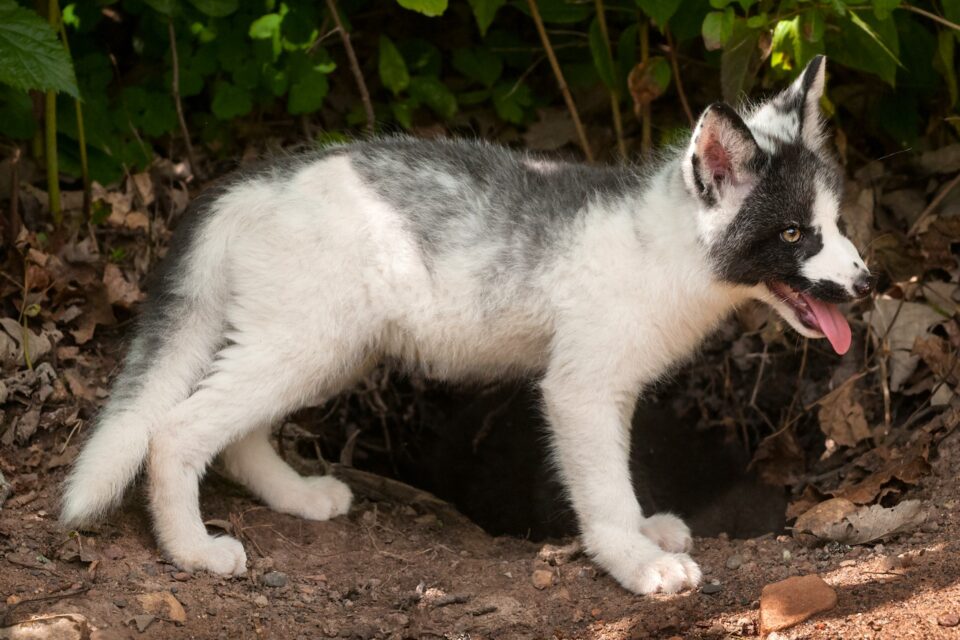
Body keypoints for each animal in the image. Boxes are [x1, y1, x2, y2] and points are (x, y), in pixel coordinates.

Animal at [61, 55, 871, 594]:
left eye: (836, 223)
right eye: (793, 235)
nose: (866, 284)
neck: (662, 249)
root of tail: (256, 180)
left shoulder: (609, 392)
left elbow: (619, 481)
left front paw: (644, 534)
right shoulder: (577, 390)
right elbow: (603, 491)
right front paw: (637, 562)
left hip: (323, 350)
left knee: (236, 435)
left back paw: (300, 499)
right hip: (306, 344)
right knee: (175, 431)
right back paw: (193, 552)